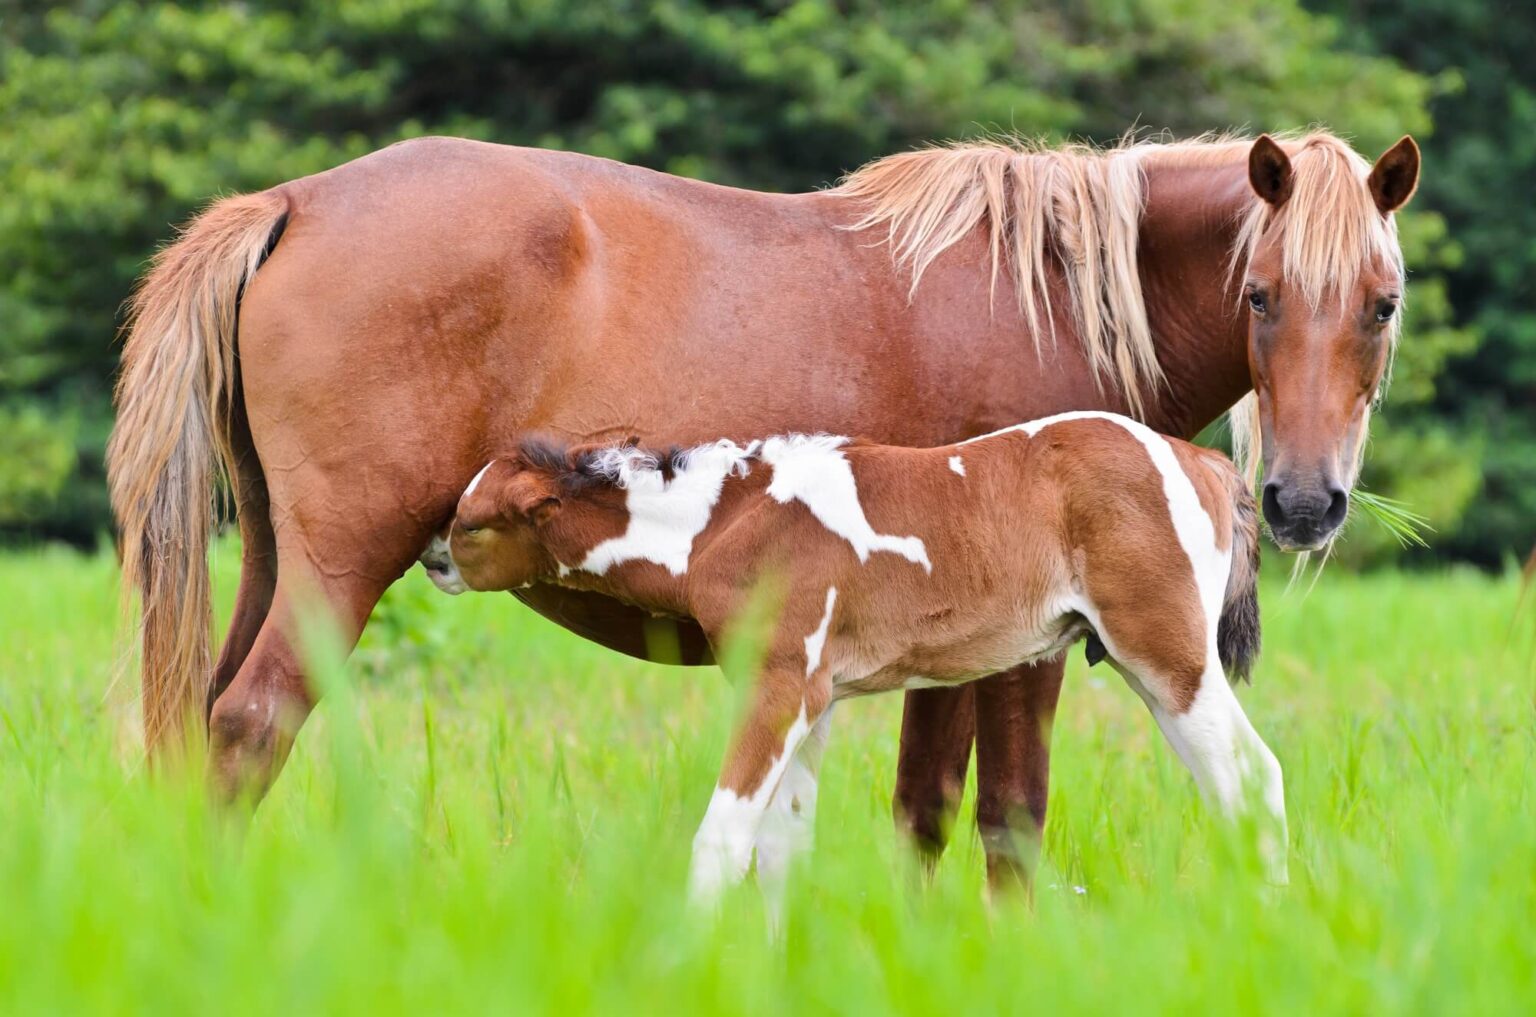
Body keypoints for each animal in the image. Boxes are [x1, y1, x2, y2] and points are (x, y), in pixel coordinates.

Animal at [422, 413, 1280, 901]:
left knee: (1252, 774)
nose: (432, 558)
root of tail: (1202, 463)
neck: (725, 523)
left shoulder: (780, 689)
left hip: (1168, 654)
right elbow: (782, 847)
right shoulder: (817, 697)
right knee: (1232, 783)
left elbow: (723, 838)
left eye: (473, 523)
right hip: (1147, 666)